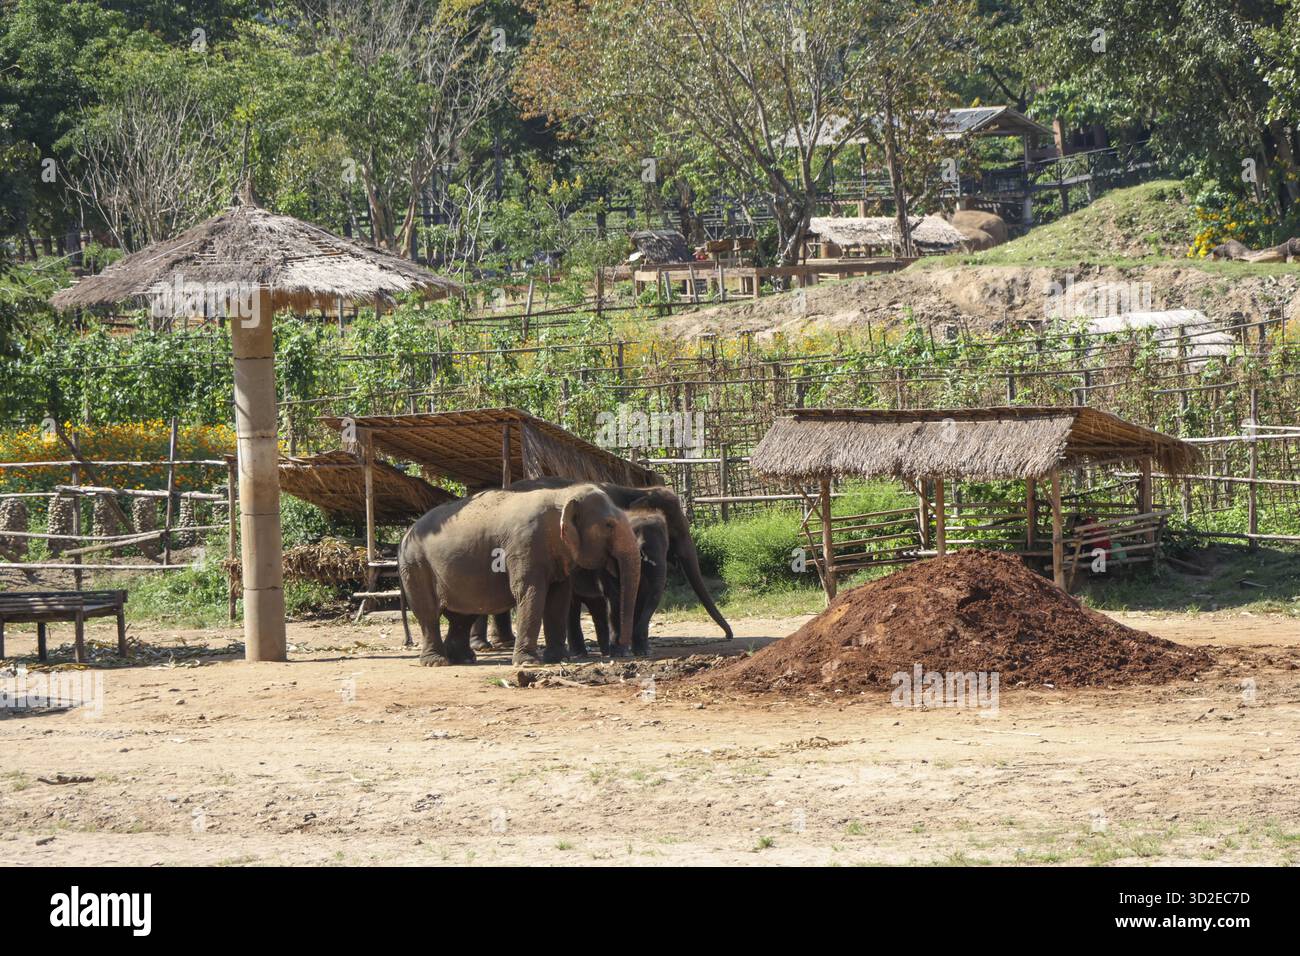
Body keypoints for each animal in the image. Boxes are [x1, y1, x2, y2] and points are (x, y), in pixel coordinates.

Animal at [397, 484, 641, 667]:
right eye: (609, 525)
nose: (623, 652)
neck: (562, 494)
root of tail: (406, 534)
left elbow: (559, 598)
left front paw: (558, 659)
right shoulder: (525, 545)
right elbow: (531, 593)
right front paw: (527, 663)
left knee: (462, 616)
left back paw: (463, 659)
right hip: (415, 566)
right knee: (429, 614)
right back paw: (436, 662)